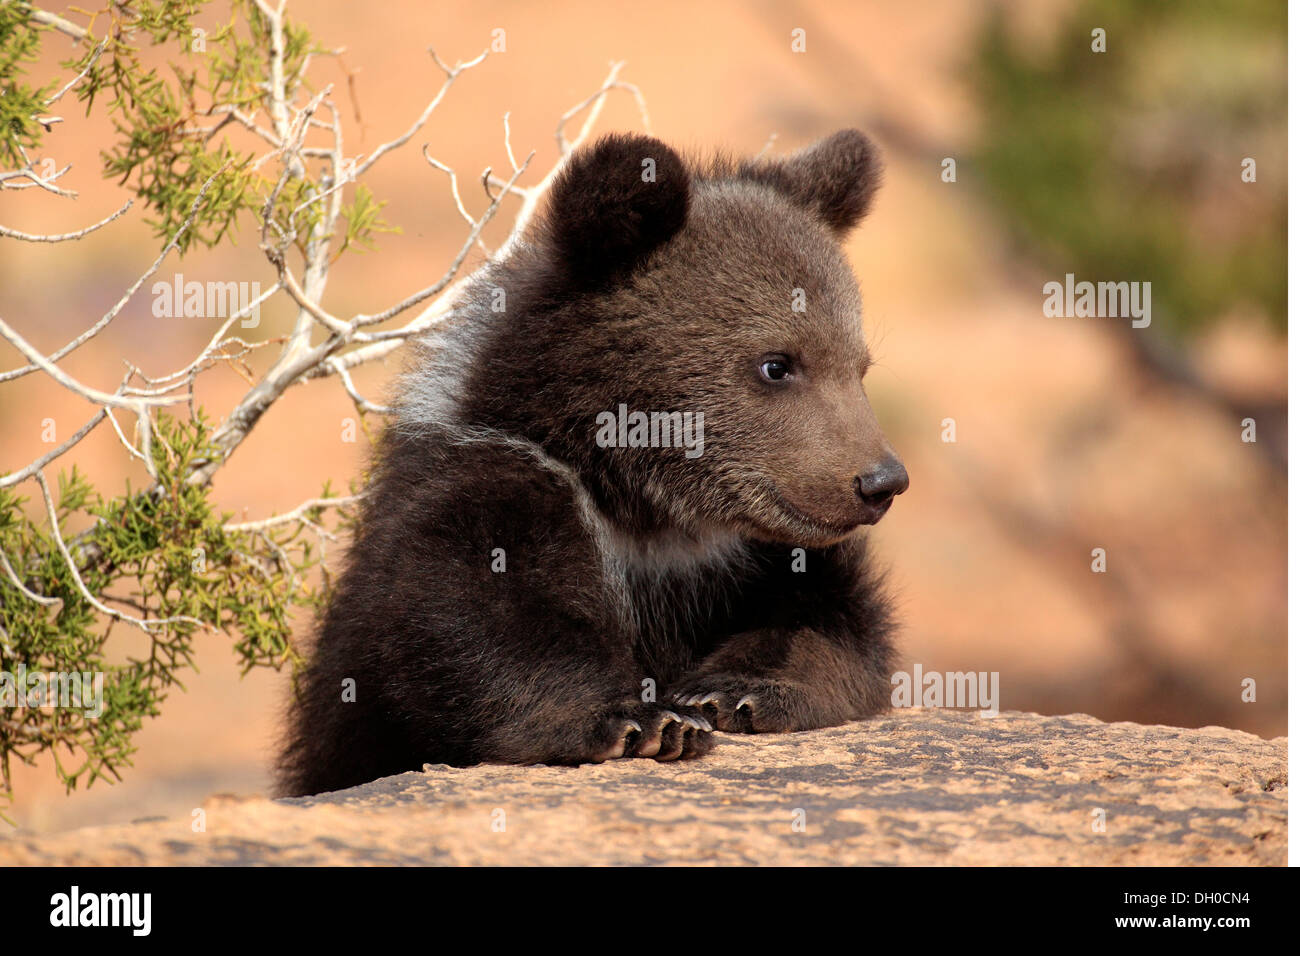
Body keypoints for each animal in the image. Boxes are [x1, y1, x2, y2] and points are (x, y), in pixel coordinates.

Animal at [277, 128, 908, 797]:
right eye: (777, 364)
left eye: (859, 365)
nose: (880, 481)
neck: (646, 508)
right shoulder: (494, 485)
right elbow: (467, 627)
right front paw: (643, 719)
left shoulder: (751, 556)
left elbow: (836, 623)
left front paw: (731, 689)